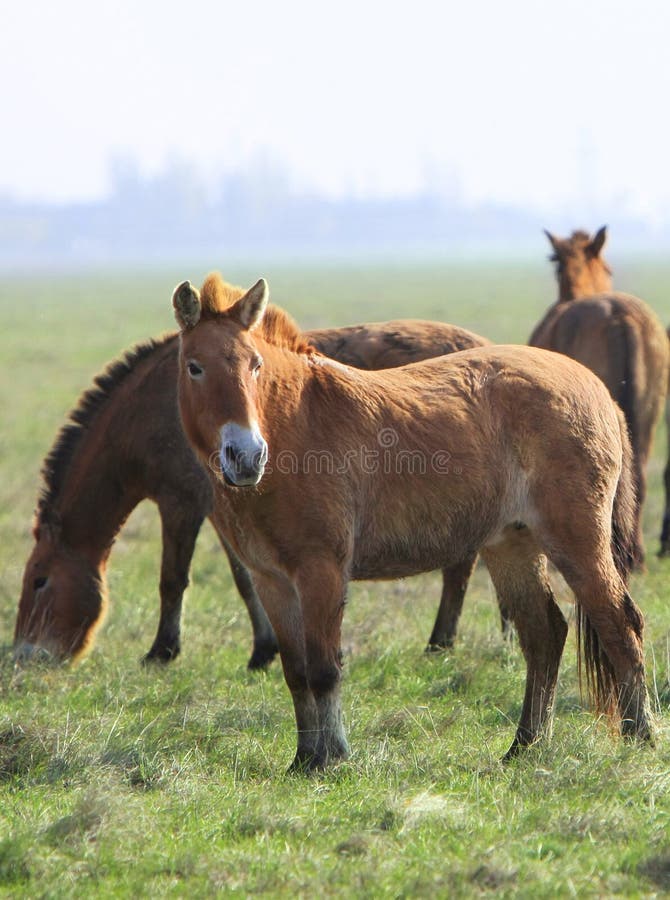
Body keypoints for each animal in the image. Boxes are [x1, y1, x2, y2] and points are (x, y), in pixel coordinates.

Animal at [14, 301, 490, 665]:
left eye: (39, 580)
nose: (22, 655)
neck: (150, 411)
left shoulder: (183, 502)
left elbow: (173, 578)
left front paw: (162, 651)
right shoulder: (229, 507)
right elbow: (245, 579)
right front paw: (265, 649)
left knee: (459, 568)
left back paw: (440, 643)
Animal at [173, 272, 652, 770]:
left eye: (255, 365)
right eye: (194, 367)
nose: (246, 457)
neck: (293, 425)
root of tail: (597, 389)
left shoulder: (322, 572)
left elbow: (324, 669)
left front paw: (332, 757)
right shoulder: (272, 581)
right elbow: (296, 672)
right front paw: (304, 759)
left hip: (577, 543)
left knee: (621, 625)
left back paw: (639, 737)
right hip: (513, 546)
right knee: (544, 635)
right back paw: (524, 745)